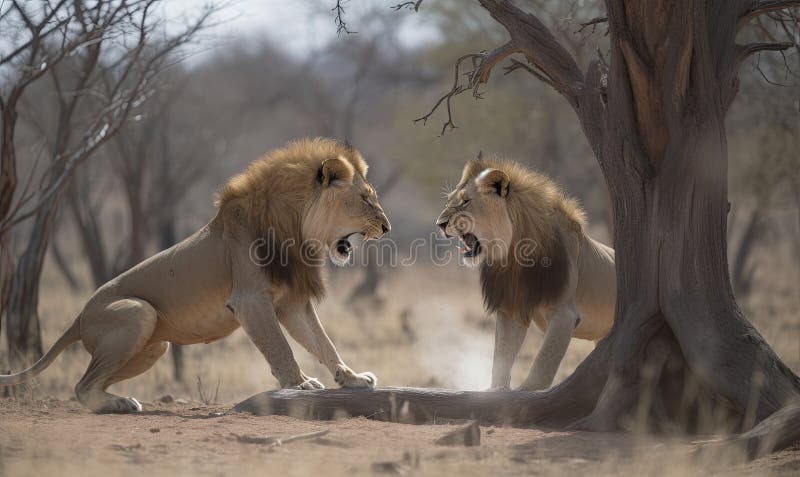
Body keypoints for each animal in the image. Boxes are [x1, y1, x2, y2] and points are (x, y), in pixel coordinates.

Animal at [0, 138, 391, 413]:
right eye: (365, 198)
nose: (387, 228)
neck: (296, 229)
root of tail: (79, 316)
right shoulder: (250, 300)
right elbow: (280, 348)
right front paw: (300, 384)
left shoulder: (290, 302)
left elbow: (323, 343)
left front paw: (353, 378)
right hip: (138, 311)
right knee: (82, 386)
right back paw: (118, 405)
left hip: (153, 344)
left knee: (93, 382)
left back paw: (120, 401)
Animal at [436, 155, 616, 391]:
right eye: (450, 200)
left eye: (465, 201)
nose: (439, 224)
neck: (514, 256)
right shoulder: (512, 308)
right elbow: (501, 358)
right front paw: (497, 391)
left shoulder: (564, 314)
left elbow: (543, 365)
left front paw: (526, 394)